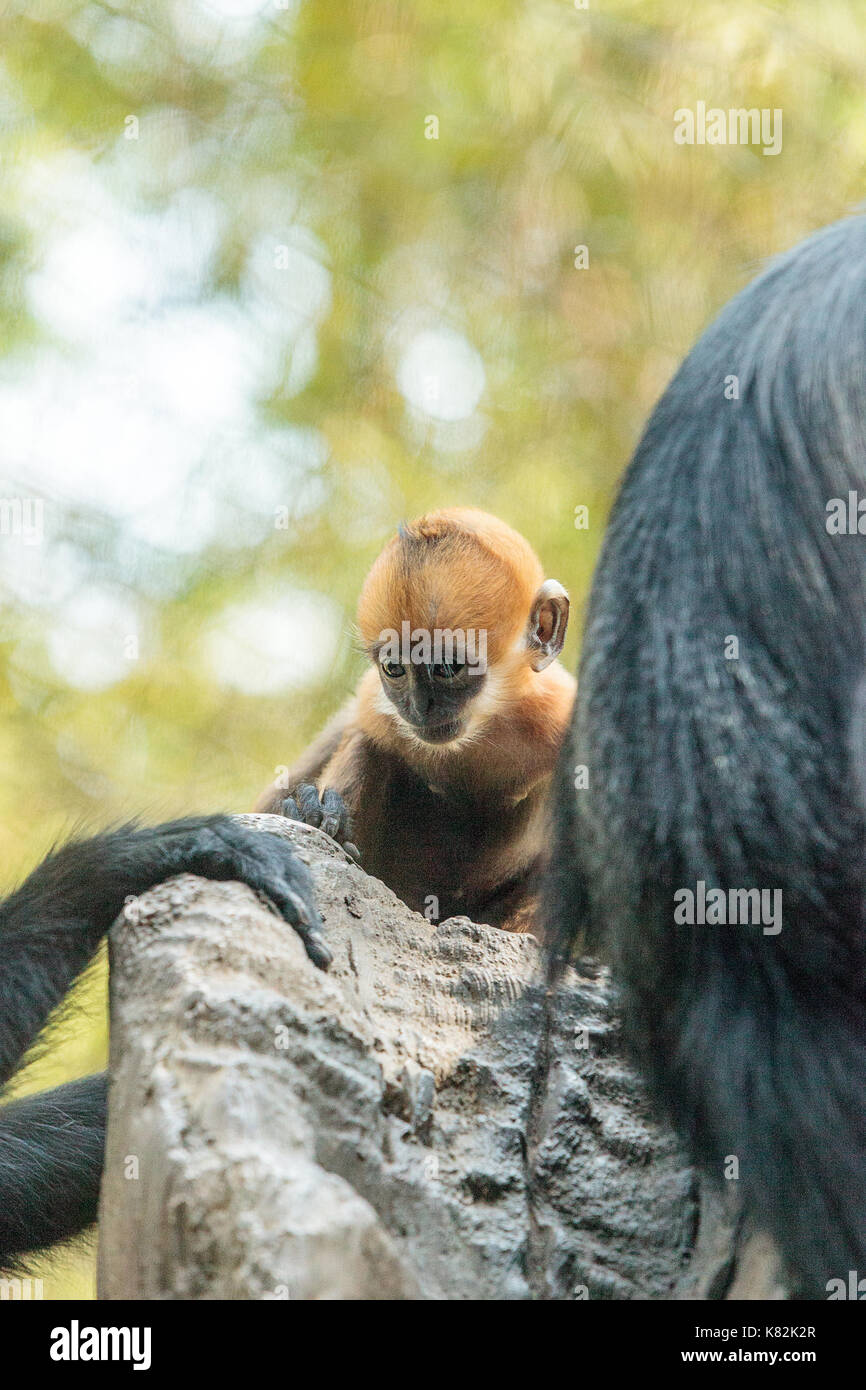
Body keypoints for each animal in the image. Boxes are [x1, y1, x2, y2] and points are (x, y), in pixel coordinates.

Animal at [256, 508, 576, 933]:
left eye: (446, 667)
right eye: (395, 668)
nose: (420, 707)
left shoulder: (561, 716)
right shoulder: (374, 704)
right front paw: (313, 812)